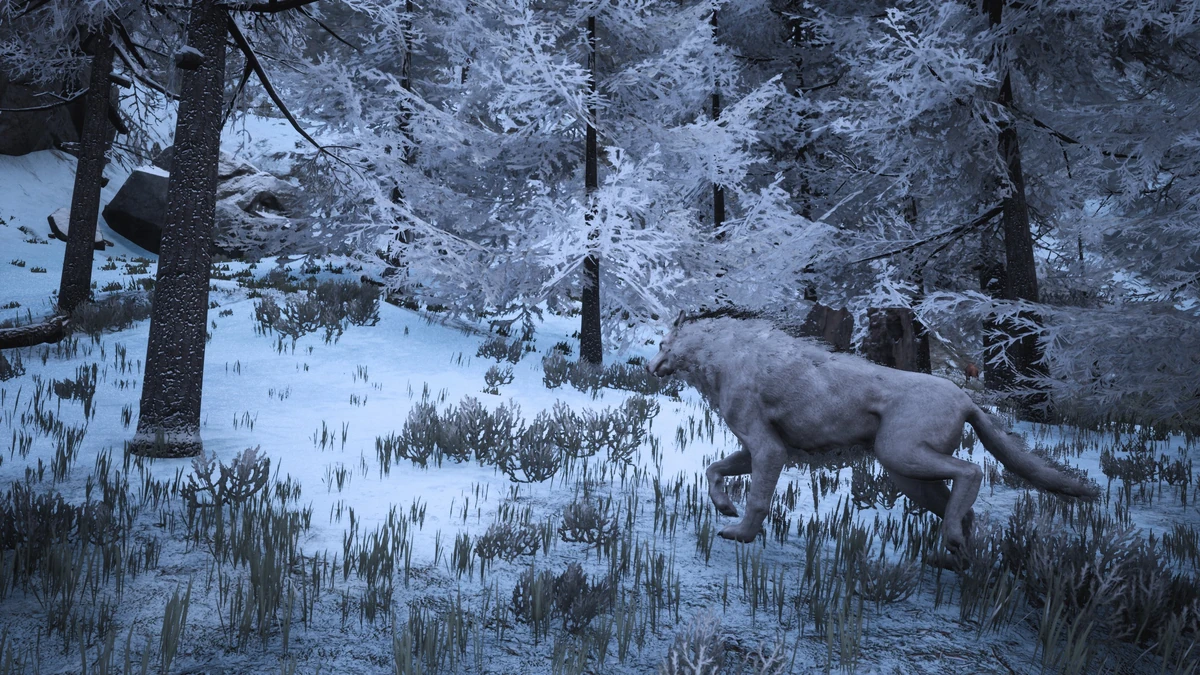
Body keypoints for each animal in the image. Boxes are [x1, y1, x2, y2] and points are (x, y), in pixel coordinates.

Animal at [645, 310, 1100, 555]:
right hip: (907, 475)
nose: (649, 366)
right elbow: (714, 469)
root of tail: (967, 399)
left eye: (663, 343)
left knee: (971, 472)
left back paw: (953, 541)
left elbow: (756, 497)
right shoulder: (764, 447)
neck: (717, 357)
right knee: (963, 505)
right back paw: (954, 556)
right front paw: (724, 507)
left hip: (899, 455)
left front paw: (740, 533)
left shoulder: (769, 448)